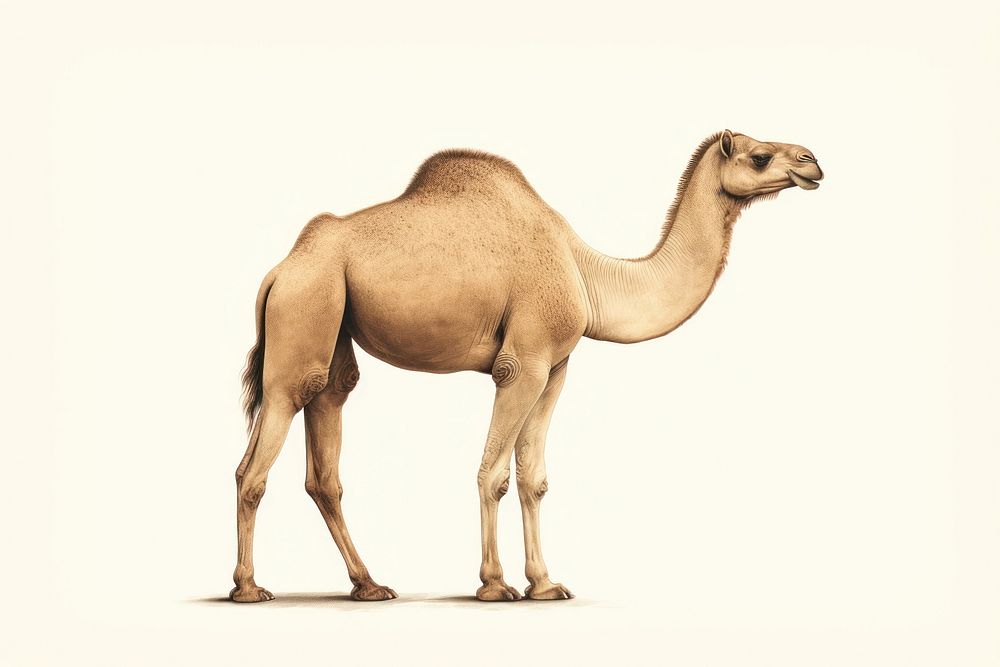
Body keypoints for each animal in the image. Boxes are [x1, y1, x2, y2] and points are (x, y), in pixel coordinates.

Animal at [229, 130, 824, 603]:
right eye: (760, 156)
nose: (813, 161)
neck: (588, 273)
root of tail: (279, 271)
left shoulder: (556, 368)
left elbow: (533, 478)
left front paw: (545, 583)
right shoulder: (524, 363)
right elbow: (492, 474)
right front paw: (495, 584)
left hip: (331, 321)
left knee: (327, 436)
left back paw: (369, 585)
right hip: (306, 308)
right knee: (257, 460)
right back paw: (249, 588)